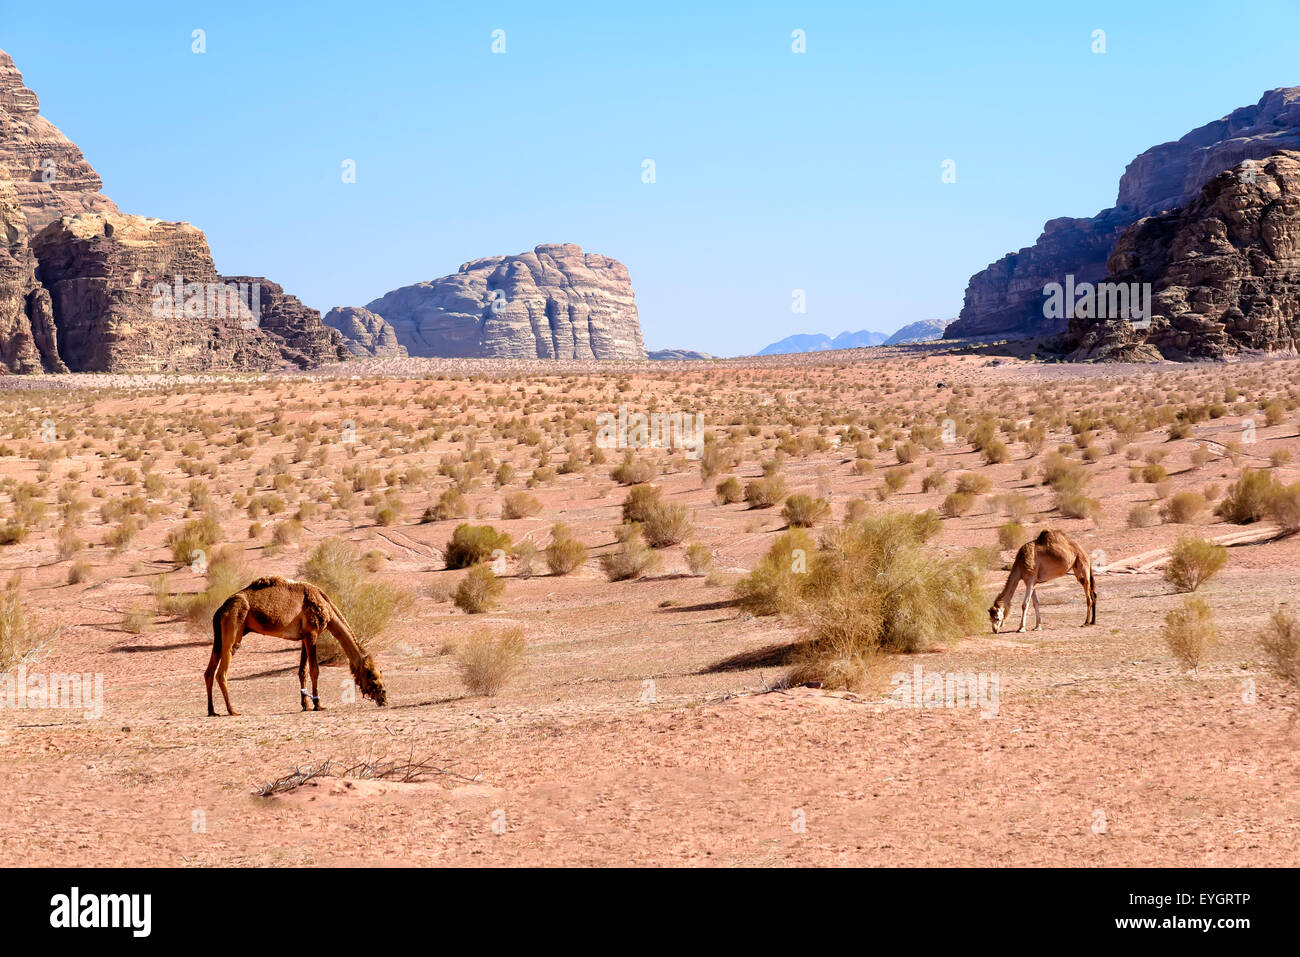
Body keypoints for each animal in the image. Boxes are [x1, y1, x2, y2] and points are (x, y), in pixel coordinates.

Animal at [205, 576, 387, 716]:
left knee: (209, 672)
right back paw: (232, 710)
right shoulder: (312, 633)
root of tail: (221, 608)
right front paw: (318, 705)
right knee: (221, 673)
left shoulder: (303, 636)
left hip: (219, 637)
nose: (383, 697)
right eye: (372, 675)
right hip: (234, 628)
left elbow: (302, 671)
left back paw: (212, 711)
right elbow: (314, 670)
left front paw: (305, 705)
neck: (327, 608)